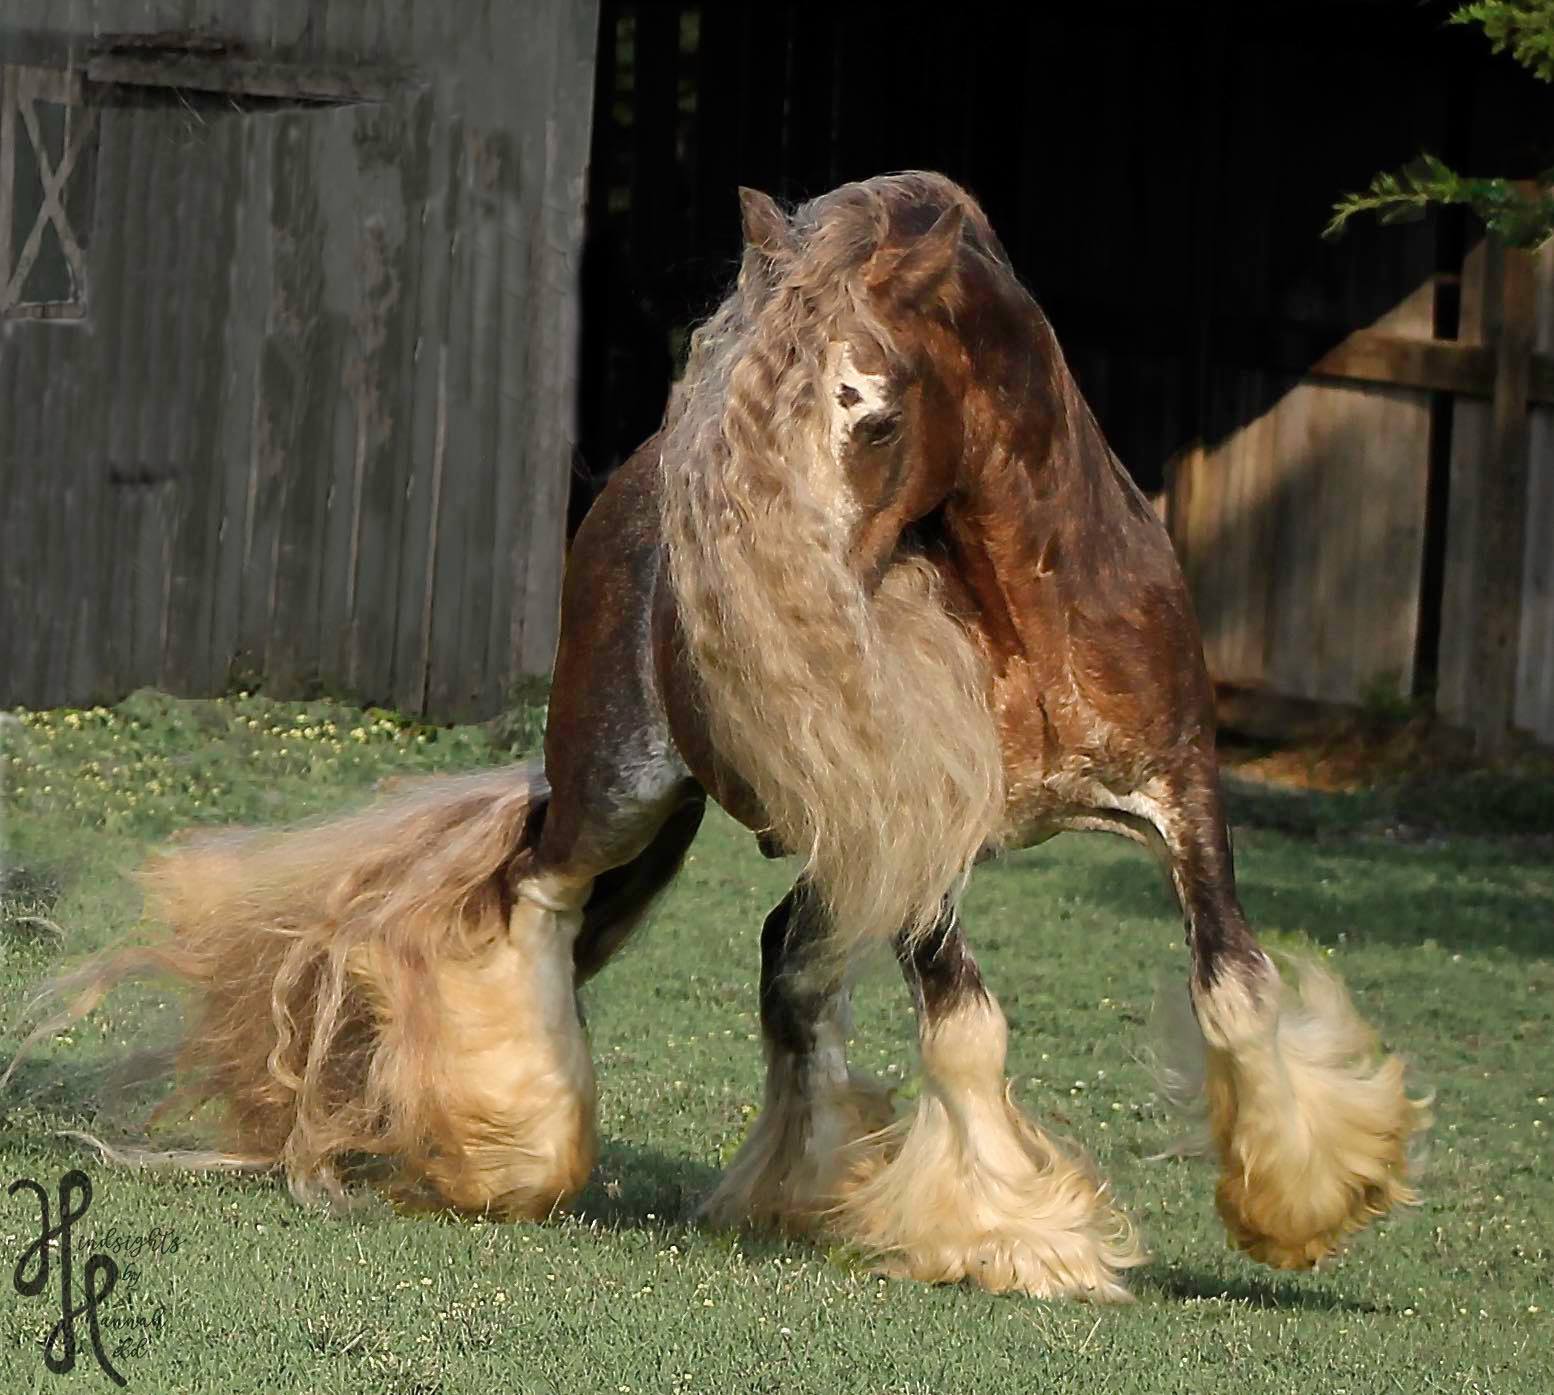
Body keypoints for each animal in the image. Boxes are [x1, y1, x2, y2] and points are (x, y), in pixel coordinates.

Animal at [9, 172, 1428, 1301]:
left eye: (868, 405)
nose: (774, 632)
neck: (1020, 612)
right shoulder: (915, 833)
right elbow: (967, 1025)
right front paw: (1022, 1239)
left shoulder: (1179, 792)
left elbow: (1234, 983)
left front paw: (1304, 1202)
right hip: (622, 789)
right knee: (529, 890)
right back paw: (517, 1140)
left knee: (782, 962)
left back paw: (797, 1188)